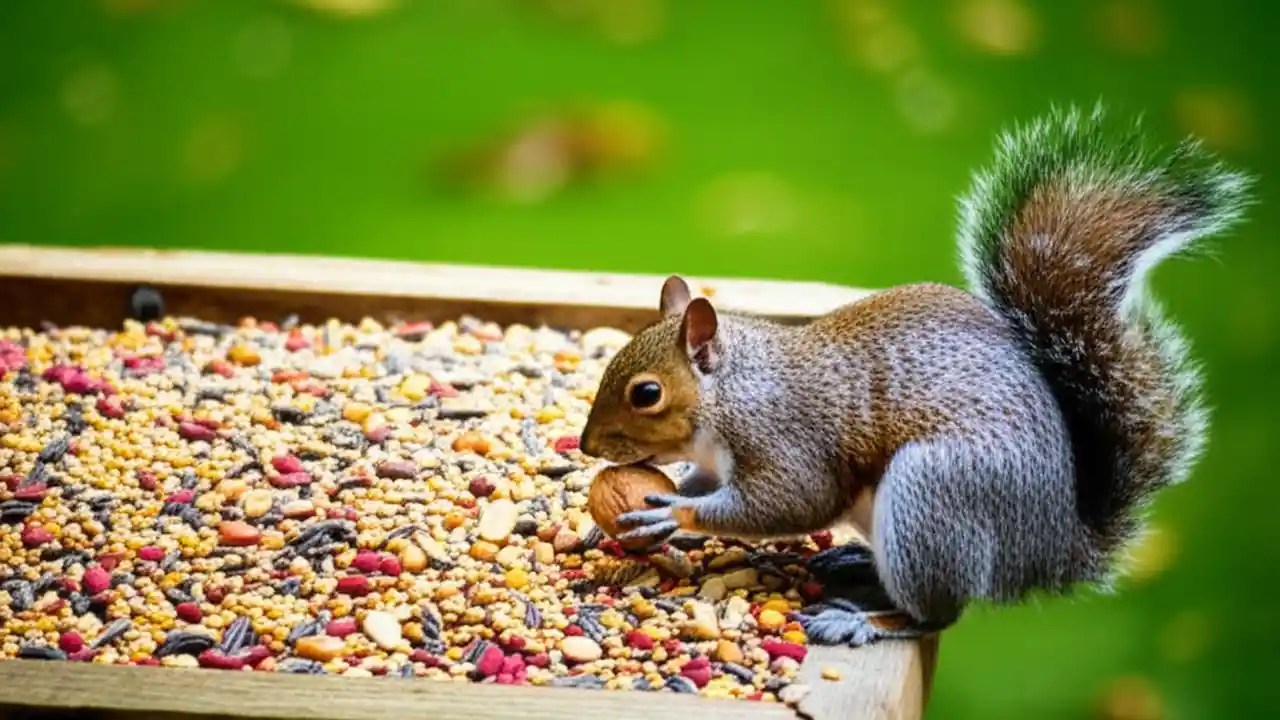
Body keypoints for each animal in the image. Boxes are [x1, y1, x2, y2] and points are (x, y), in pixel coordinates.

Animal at [578, 105, 1252, 646]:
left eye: (647, 393)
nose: (586, 446)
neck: (734, 394)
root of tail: (1049, 552)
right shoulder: (719, 462)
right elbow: (705, 484)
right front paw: (655, 502)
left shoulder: (788, 441)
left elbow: (787, 501)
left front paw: (673, 516)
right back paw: (853, 565)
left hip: (931, 498)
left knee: (936, 614)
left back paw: (860, 620)